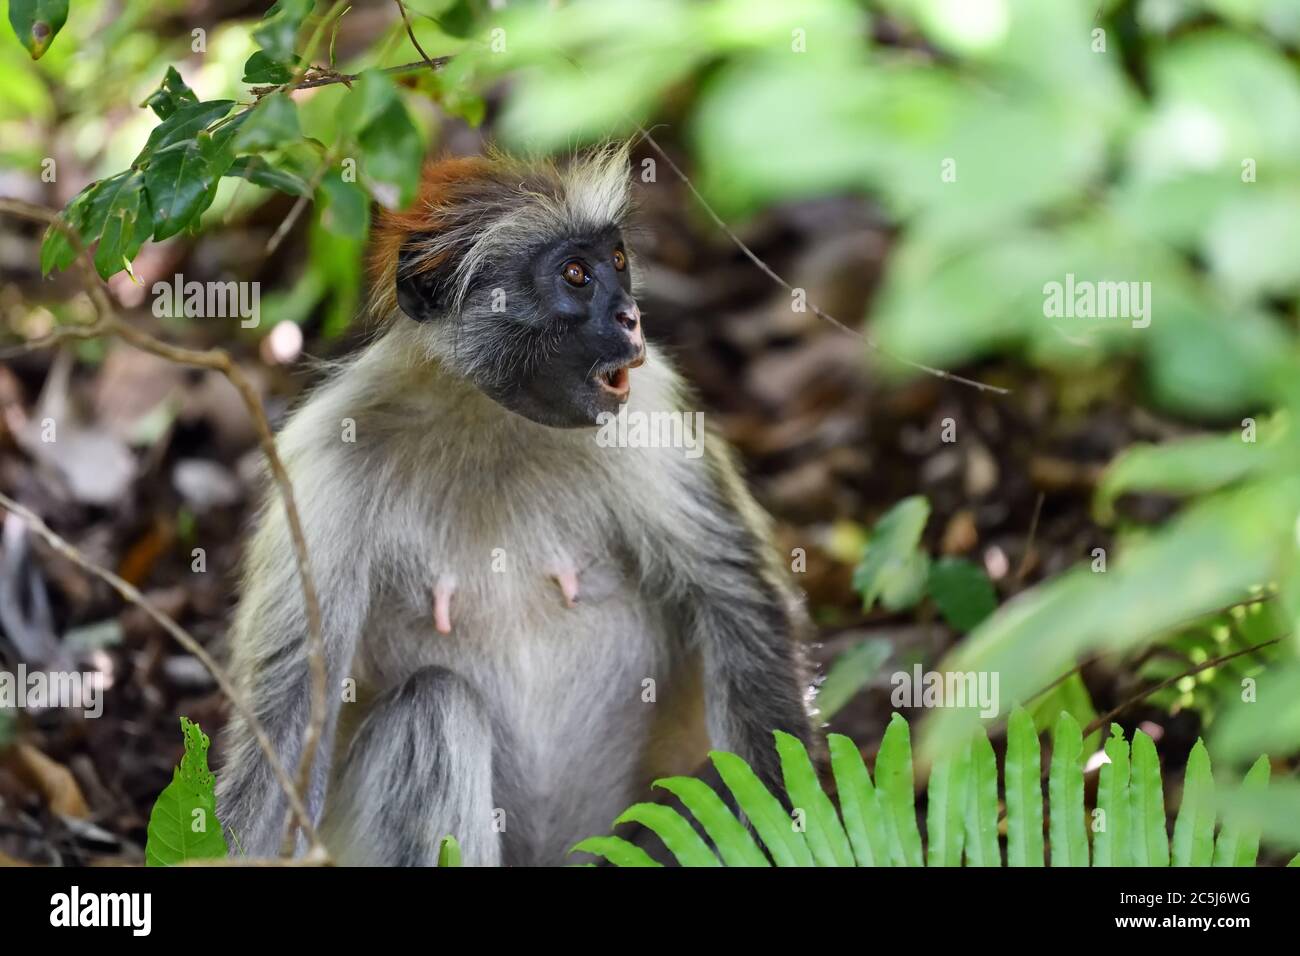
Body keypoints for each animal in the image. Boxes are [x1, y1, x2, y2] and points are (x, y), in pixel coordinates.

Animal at [215, 144, 819, 866]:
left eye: (618, 261)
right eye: (576, 275)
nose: (631, 317)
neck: (489, 419)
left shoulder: (648, 410)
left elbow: (738, 602)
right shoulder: (324, 457)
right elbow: (287, 719)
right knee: (435, 704)